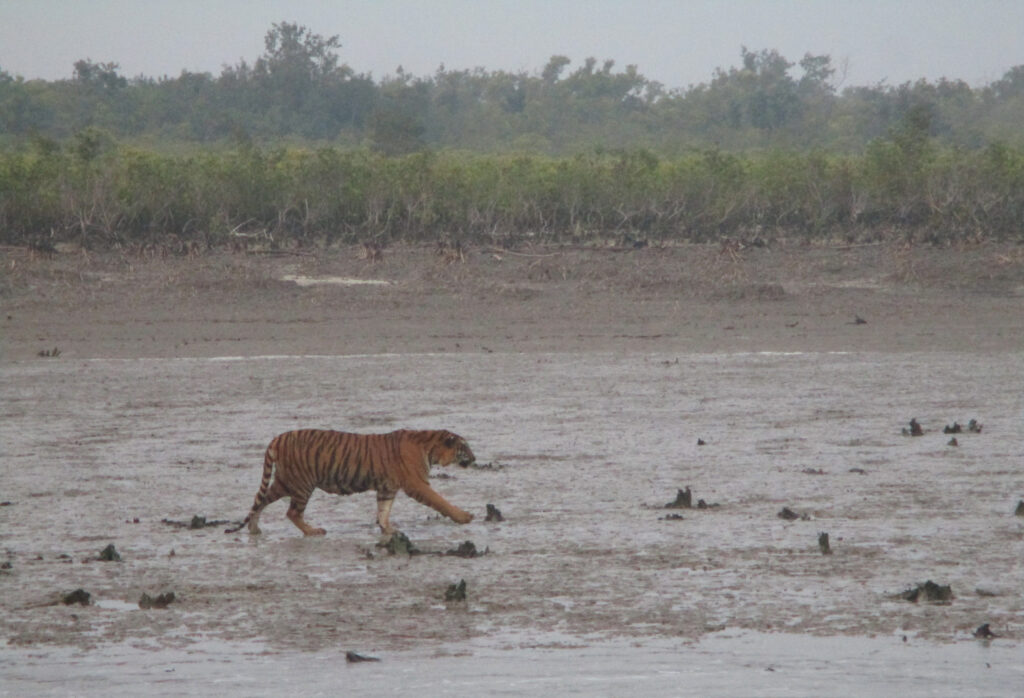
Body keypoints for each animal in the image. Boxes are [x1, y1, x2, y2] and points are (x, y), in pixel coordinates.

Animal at [225, 428, 477, 537]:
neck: (429, 448)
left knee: (260, 500)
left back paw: (254, 528)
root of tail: (278, 438)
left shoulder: (387, 488)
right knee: (292, 512)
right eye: (465, 448)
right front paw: (464, 516)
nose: (475, 459)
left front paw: (388, 529)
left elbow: (383, 510)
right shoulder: (417, 484)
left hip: (285, 481)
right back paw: (313, 531)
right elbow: (441, 501)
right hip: (301, 484)